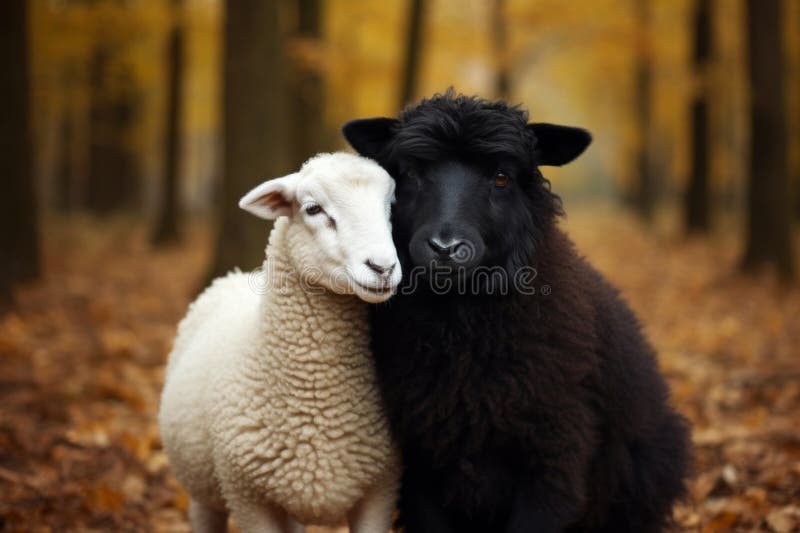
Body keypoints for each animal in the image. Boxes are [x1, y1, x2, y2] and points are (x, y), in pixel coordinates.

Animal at [158, 152, 402, 533]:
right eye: (313, 209)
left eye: (390, 205)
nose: (383, 267)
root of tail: (234, 275)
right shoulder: (247, 496)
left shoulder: (380, 490)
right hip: (203, 484)